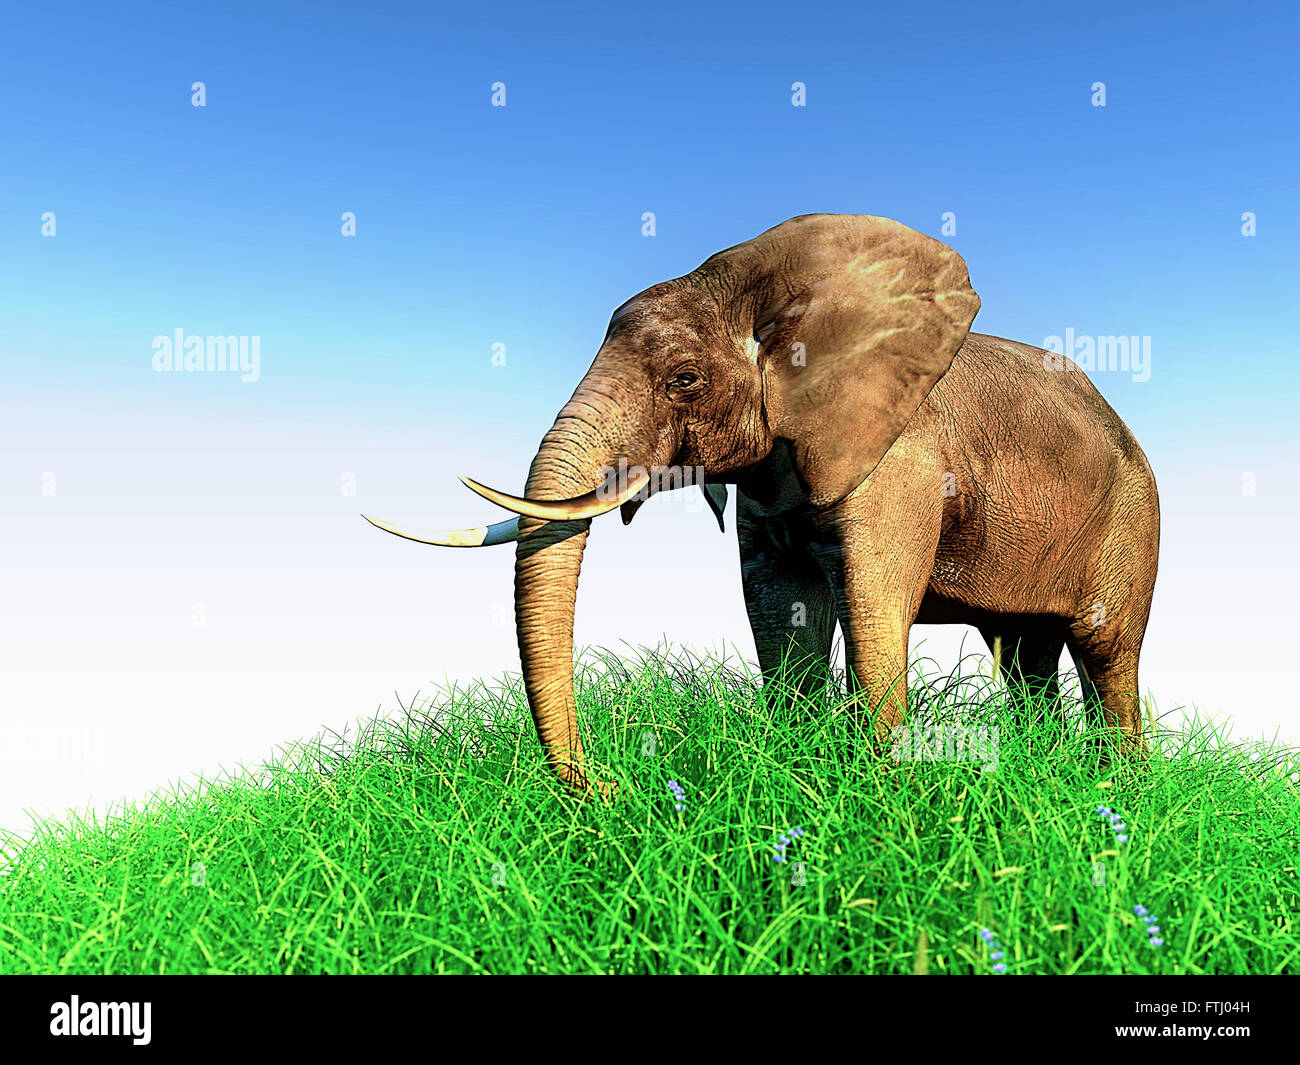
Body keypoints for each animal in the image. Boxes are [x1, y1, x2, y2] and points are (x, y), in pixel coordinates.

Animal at [366, 214, 1160, 797]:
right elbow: (780, 608)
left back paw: (1119, 791)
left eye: (685, 378)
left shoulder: (900, 461)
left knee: (1105, 652)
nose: (609, 788)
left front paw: (882, 797)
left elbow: (873, 608)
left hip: (1131, 517)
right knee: (1024, 654)